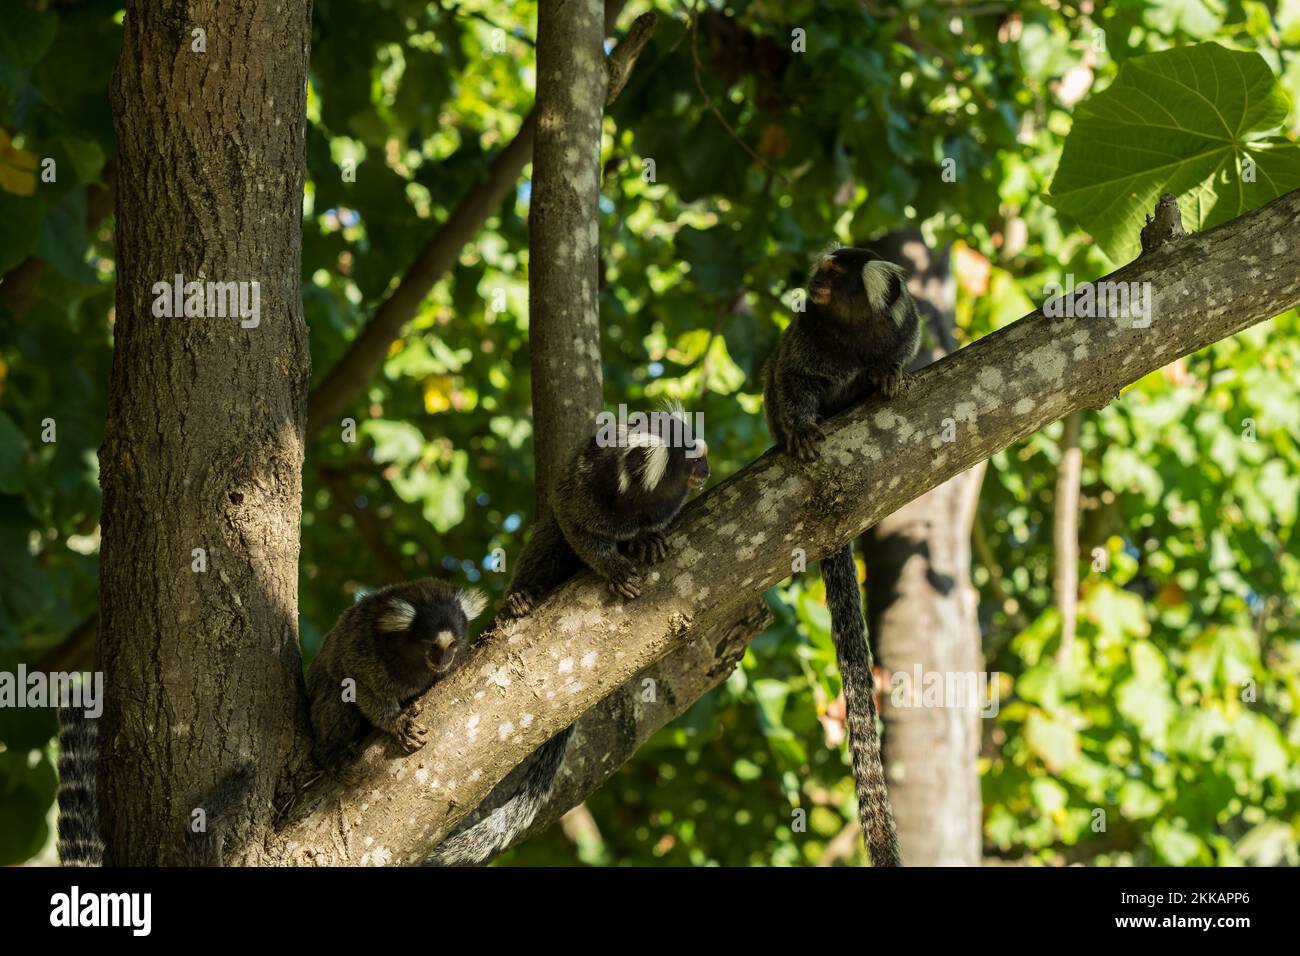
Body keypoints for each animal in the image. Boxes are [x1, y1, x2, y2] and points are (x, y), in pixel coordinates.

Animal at [306, 578, 488, 770]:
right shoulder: (362, 643)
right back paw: (331, 750)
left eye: (453, 644)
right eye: (432, 645)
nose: (443, 660)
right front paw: (396, 721)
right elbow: (356, 682)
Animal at [425, 403, 710, 866]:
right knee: (549, 537)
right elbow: (571, 523)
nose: (706, 470)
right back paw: (522, 597)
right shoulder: (582, 485)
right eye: (693, 458)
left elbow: (648, 526)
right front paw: (612, 565)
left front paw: (646, 540)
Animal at [762, 243, 920, 867]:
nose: (813, 281)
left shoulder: (904, 329)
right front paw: (801, 428)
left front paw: (887, 375)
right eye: (820, 272)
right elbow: (790, 379)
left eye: (835, 275)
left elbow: (900, 353)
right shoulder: (805, 340)